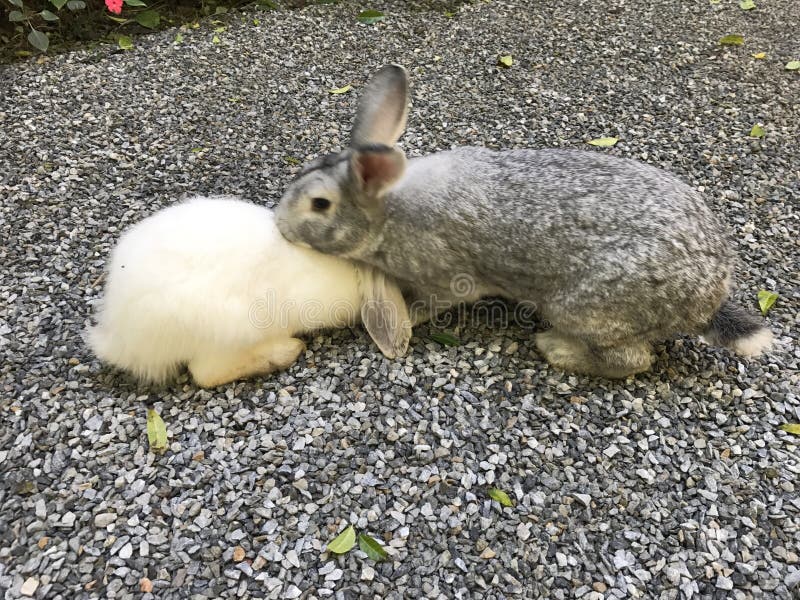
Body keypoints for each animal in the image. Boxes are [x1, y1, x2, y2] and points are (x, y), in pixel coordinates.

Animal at [274, 64, 773, 379]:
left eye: (319, 204)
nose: (279, 224)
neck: (389, 207)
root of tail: (706, 300)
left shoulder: (445, 278)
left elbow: (433, 302)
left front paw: (407, 317)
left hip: (588, 308)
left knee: (633, 361)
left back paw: (557, 348)